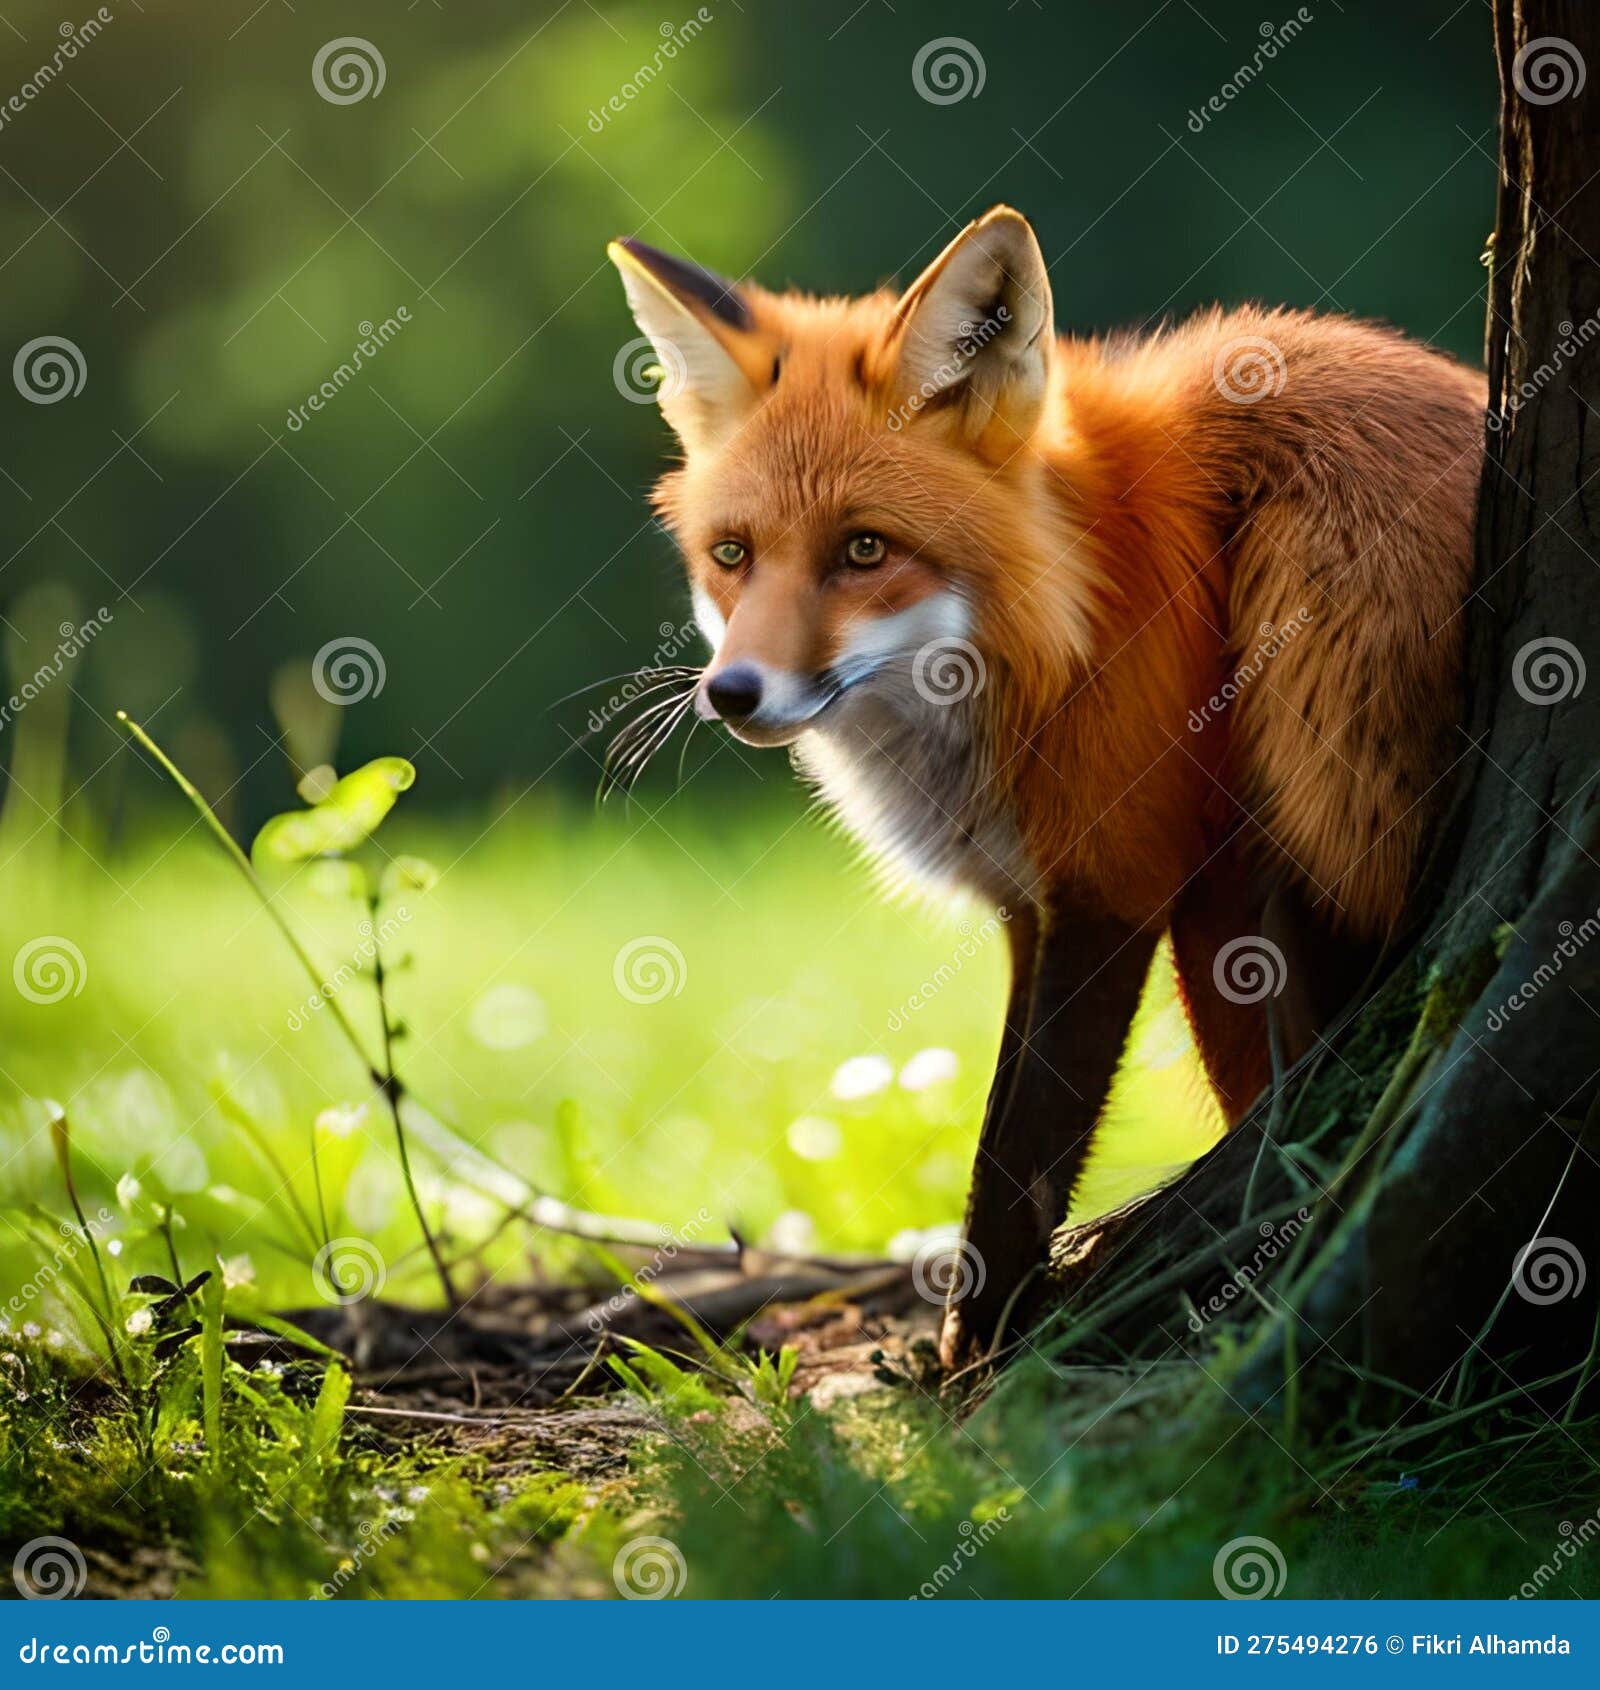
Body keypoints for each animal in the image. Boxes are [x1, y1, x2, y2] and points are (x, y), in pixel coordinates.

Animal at [606, 206, 1484, 1367]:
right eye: (733, 555)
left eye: (865, 549)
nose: (733, 692)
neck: (1071, 615)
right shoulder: (1033, 902)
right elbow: (995, 1124)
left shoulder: (1114, 883)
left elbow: (1019, 1156)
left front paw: (978, 1360)